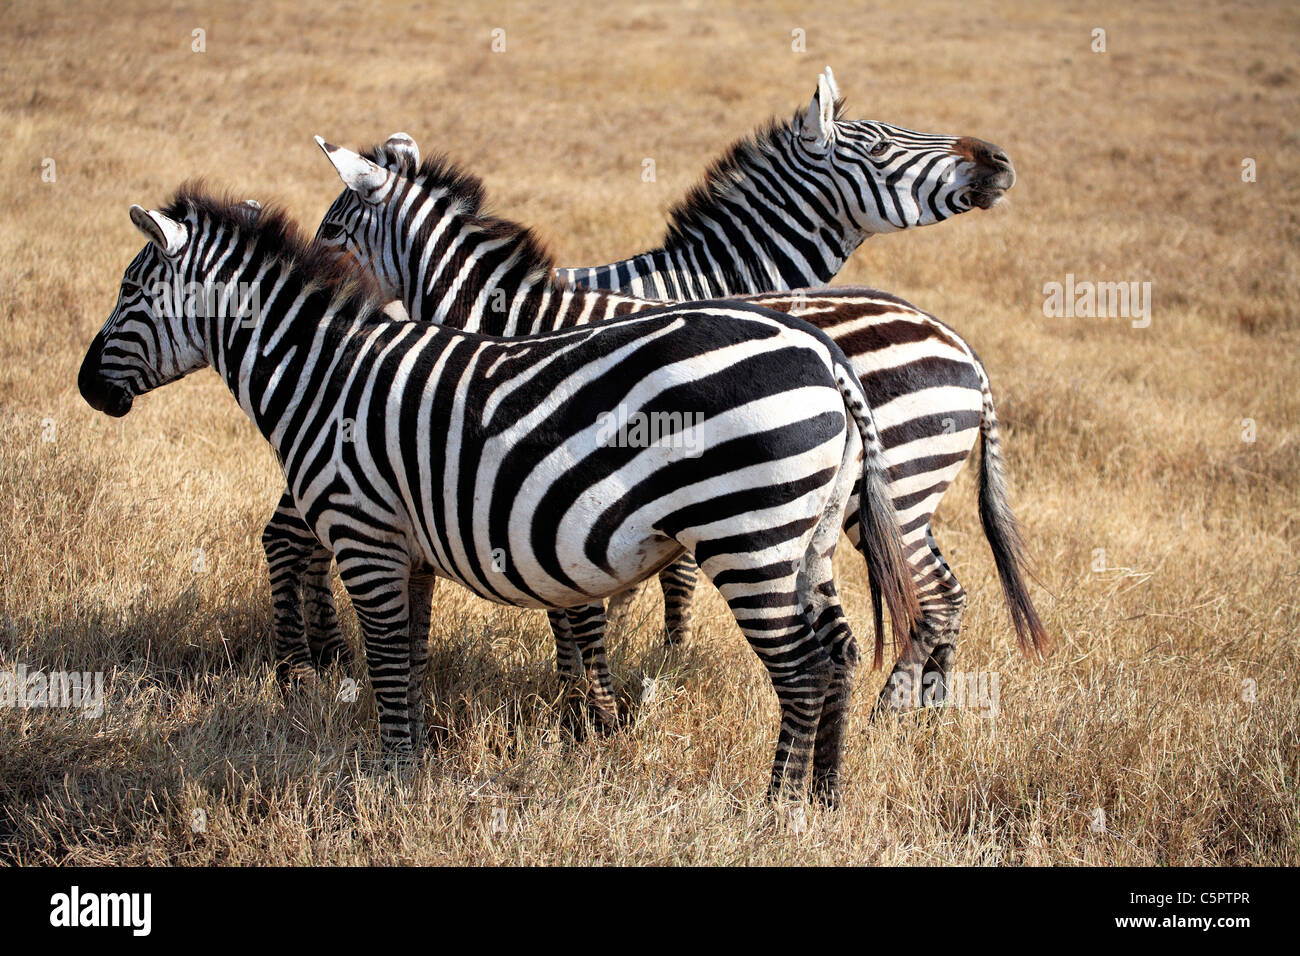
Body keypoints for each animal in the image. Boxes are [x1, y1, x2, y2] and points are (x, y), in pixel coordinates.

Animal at [78, 187, 919, 802]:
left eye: (128, 291)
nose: (85, 388)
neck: (324, 377)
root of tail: (826, 358)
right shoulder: (409, 553)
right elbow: (411, 658)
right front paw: (411, 765)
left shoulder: (364, 537)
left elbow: (386, 660)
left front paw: (388, 783)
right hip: (807, 537)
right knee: (838, 654)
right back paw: (825, 799)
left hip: (747, 533)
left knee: (802, 668)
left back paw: (776, 809)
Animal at [289, 133, 1045, 714]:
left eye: (331, 232)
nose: (318, 296)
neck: (516, 319)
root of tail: (961, 348)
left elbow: (577, 605)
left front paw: (587, 705)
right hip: (898, 498)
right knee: (945, 593)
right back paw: (925, 709)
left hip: (895, 491)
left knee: (933, 597)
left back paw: (894, 712)